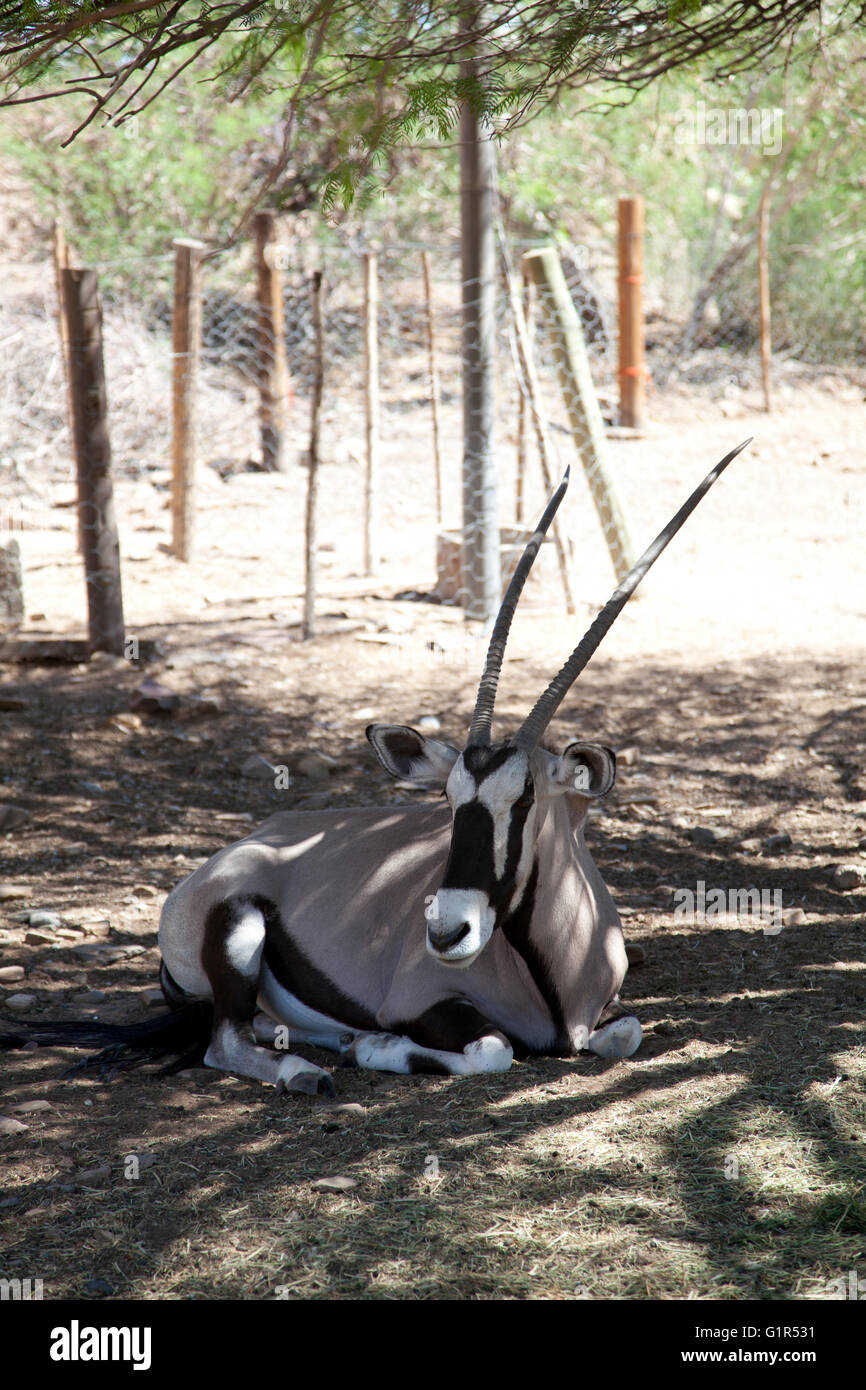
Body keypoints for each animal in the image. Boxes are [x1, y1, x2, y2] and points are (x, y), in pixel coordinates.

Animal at [1, 441, 749, 1093]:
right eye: (448, 798)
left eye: (527, 796)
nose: (446, 931)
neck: (555, 975)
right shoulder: (428, 1004)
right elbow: (493, 1049)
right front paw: (380, 1046)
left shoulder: (609, 1012)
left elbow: (625, 1034)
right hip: (238, 929)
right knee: (224, 1040)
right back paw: (309, 1069)